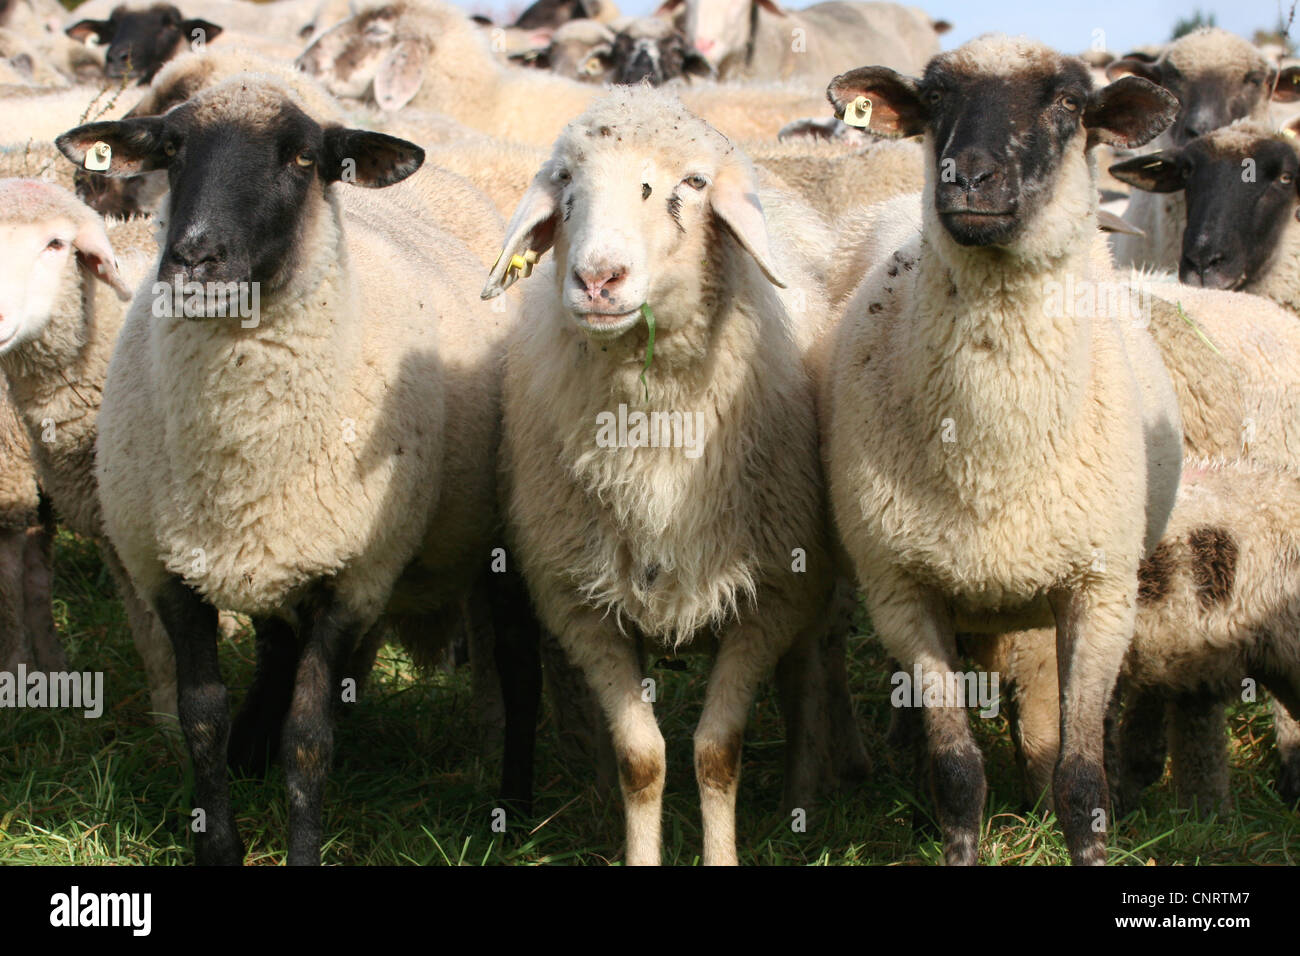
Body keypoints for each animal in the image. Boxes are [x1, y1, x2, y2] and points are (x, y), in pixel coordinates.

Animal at [57, 73, 541, 864]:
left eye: (304, 159)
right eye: (171, 149)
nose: (194, 260)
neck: (239, 446)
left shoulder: (353, 578)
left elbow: (310, 740)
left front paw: (301, 846)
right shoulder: (169, 570)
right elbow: (200, 719)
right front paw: (219, 842)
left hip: (507, 529)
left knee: (519, 664)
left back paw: (518, 808)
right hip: (278, 556)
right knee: (276, 653)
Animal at [483, 86, 860, 865]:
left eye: (692, 183)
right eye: (565, 183)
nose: (598, 279)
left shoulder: (769, 597)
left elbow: (717, 752)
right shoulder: (579, 604)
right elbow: (642, 757)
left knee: (808, 680)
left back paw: (803, 799)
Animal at [820, 36, 1184, 865]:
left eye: (1070, 102)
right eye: (934, 96)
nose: (970, 177)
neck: (992, 461)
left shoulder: (1100, 590)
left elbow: (1082, 780)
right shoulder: (902, 591)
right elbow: (957, 772)